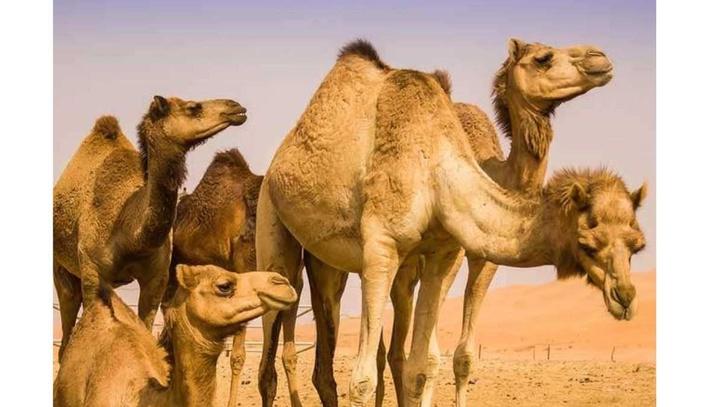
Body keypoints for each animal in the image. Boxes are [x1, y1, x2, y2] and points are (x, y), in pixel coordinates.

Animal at [53, 96, 246, 358]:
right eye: (193, 107)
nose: (236, 107)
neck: (129, 232)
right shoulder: (92, 274)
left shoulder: (156, 280)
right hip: (63, 270)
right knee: (67, 327)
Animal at [257, 39, 645, 406]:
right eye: (543, 58)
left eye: (637, 245)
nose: (625, 296)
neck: (437, 164)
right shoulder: (383, 248)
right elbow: (364, 379)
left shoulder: (444, 253)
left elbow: (421, 365)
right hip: (273, 225)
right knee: (270, 362)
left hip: (329, 264)